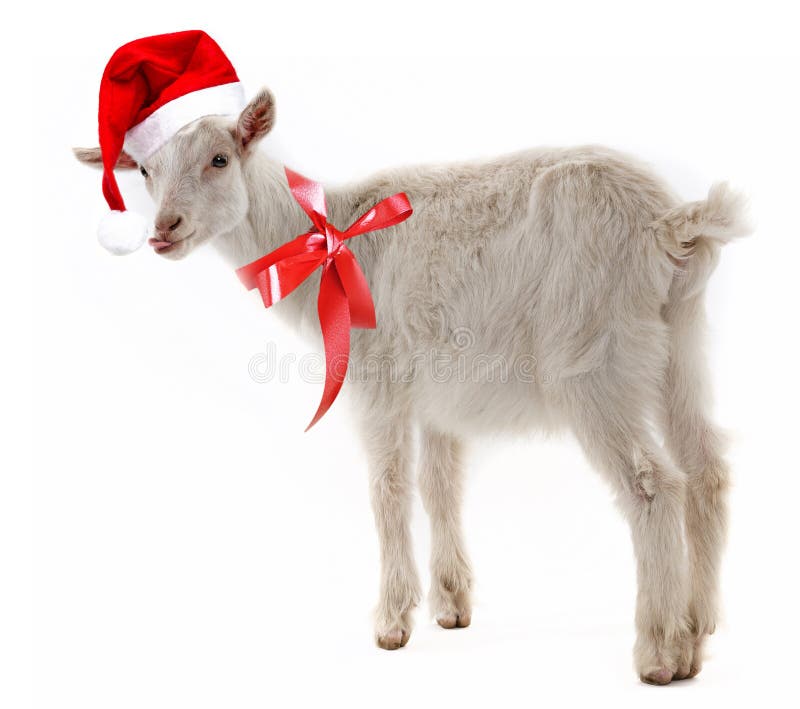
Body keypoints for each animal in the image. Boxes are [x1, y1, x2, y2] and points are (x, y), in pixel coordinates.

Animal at [75, 87, 750, 685]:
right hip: (682, 343)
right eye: (144, 170)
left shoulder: (378, 376)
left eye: (219, 159)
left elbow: (388, 488)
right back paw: (698, 634)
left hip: (593, 356)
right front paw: (452, 606)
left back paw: (658, 654)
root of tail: (670, 224)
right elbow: (440, 484)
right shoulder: (438, 395)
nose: (164, 229)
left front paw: (391, 623)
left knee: (653, 484)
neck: (334, 235)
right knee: (707, 468)